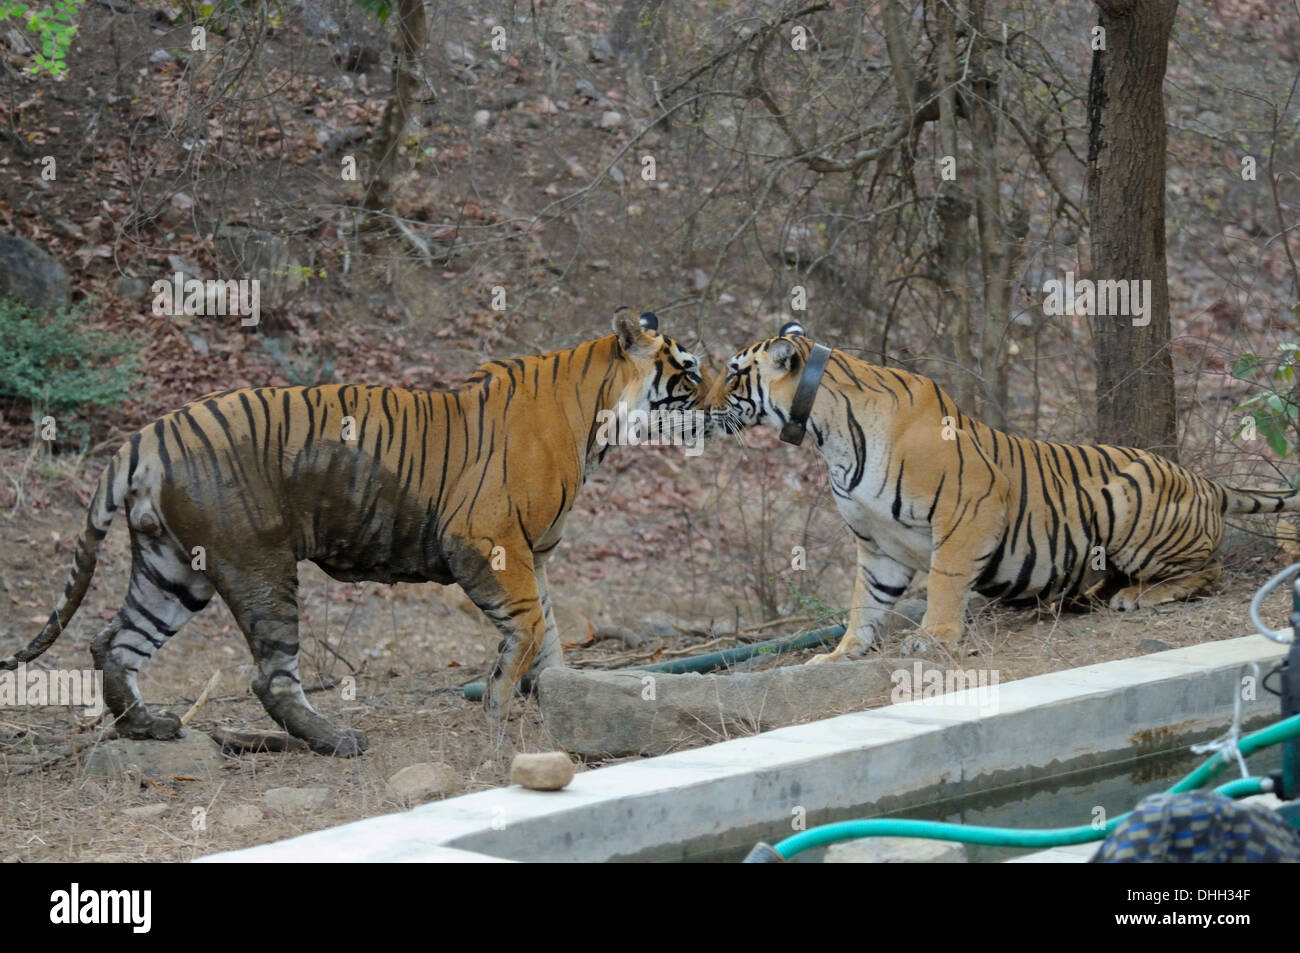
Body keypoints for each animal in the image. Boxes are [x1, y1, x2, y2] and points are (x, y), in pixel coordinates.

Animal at [1, 308, 710, 755]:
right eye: (690, 370)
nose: (724, 397)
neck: (598, 422)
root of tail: (145, 435)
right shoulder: (486, 541)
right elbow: (530, 627)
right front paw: (500, 707)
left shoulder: (532, 554)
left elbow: (552, 634)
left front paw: (561, 698)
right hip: (258, 565)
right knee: (269, 675)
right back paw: (337, 741)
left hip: (173, 569)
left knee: (113, 641)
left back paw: (147, 727)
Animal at [709, 321, 1300, 662]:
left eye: (734, 374)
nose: (699, 402)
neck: (825, 434)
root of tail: (1201, 478)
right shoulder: (877, 544)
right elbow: (865, 603)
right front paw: (840, 654)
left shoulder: (969, 510)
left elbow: (945, 582)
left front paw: (934, 638)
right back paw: (1088, 596)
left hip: (1133, 507)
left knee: (1210, 572)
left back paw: (1138, 596)